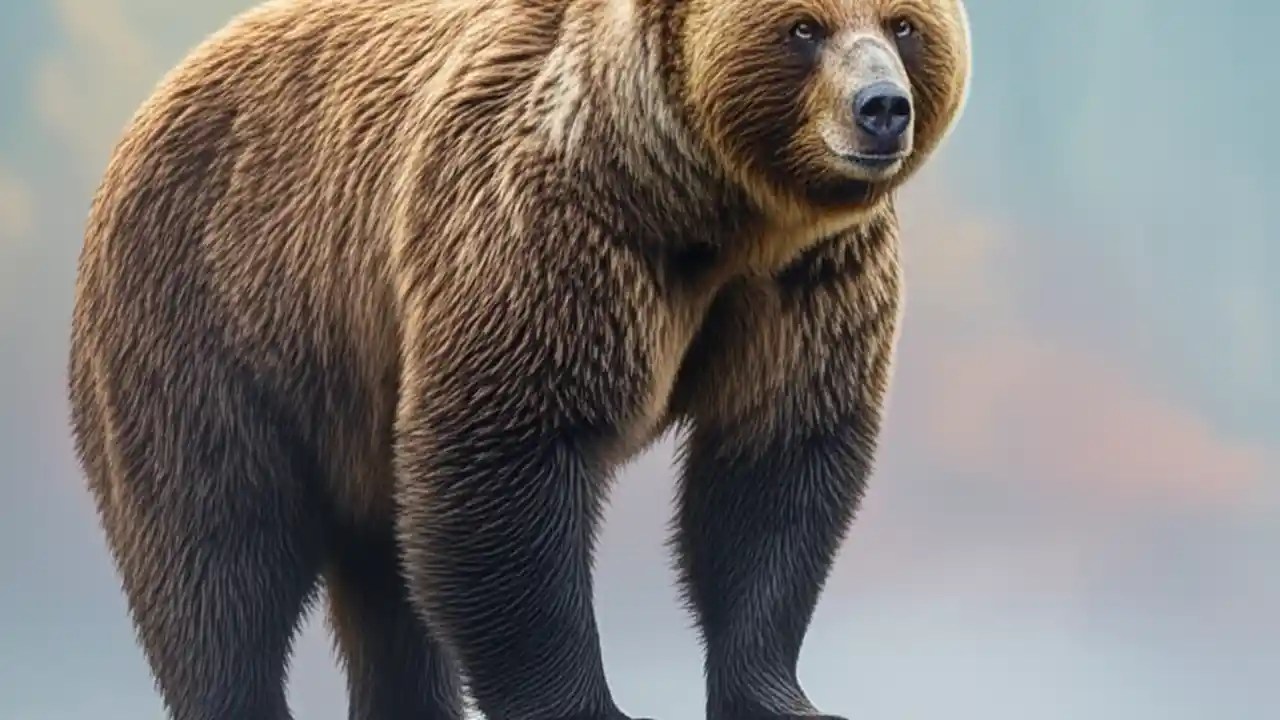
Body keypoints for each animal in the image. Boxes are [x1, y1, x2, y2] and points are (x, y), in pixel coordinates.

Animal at [67, 0, 971, 718]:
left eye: (903, 24)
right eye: (803, 28)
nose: (882, 108)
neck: (705, 214)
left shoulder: (807, 283)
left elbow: (773, 473)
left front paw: (781, 697)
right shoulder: (546, 235)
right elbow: (505, 463)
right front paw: (587, 704)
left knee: (383, 575)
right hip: (216, 313)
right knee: (218, 546)